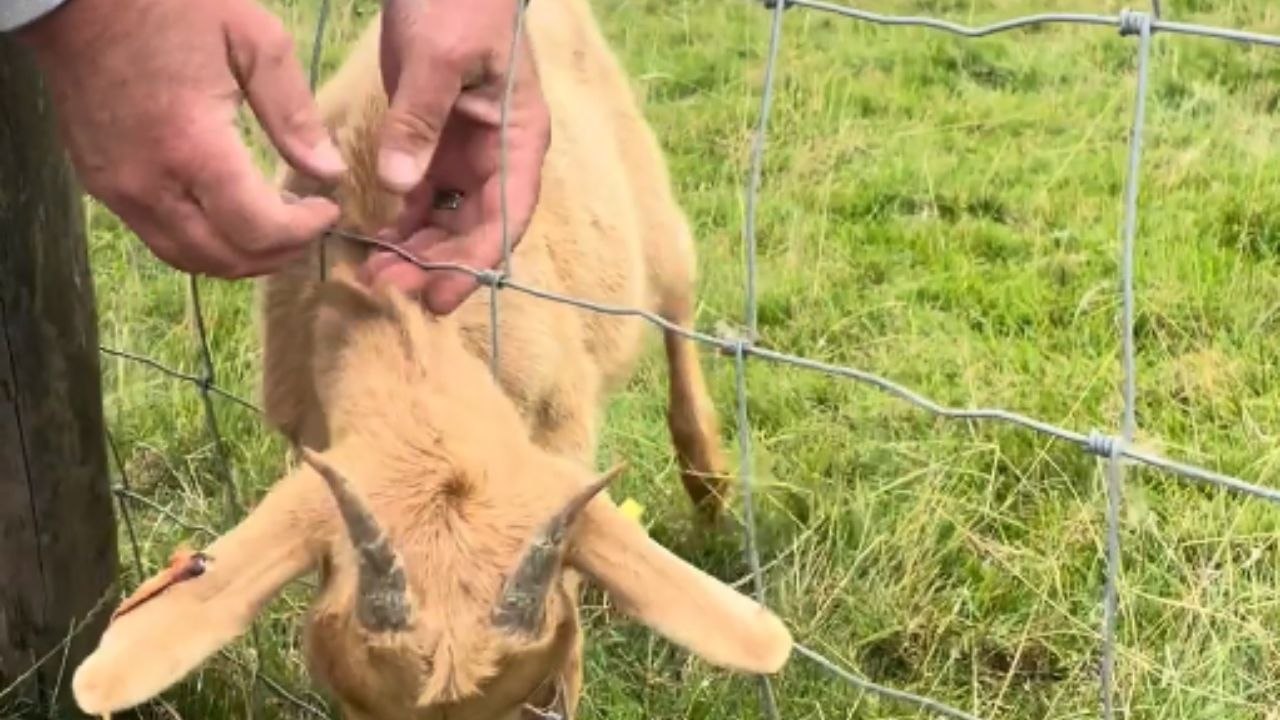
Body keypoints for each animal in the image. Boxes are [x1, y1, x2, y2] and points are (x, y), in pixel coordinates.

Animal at [70, 0, 792, 717]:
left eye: (536, 693)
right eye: (347, 694)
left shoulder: (560, 418)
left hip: (648, 202)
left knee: (676, 308)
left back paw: (708, 483)